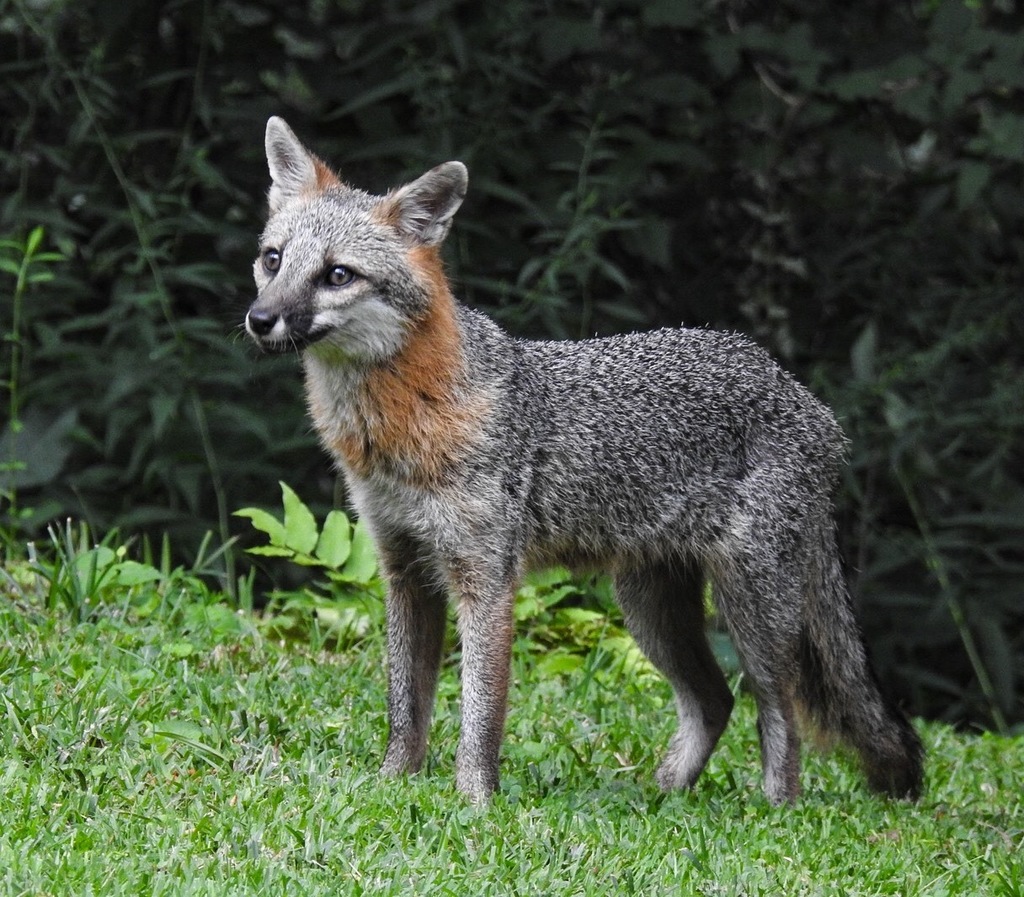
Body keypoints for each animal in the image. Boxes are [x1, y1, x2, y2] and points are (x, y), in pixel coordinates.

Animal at [245, 116, 924, 805]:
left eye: (337, 275)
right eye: (273, 260)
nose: (260, 318)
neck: (408, 419)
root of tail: (807, 400)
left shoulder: (487, 580)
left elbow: (479, 718)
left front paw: (475, 803)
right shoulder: (405, 569)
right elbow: (406, 707)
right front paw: (391, 786)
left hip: (751, 613)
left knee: (778, 714)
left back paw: (774, 809)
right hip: (651, 609)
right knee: (715, 702)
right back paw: (661, 795)